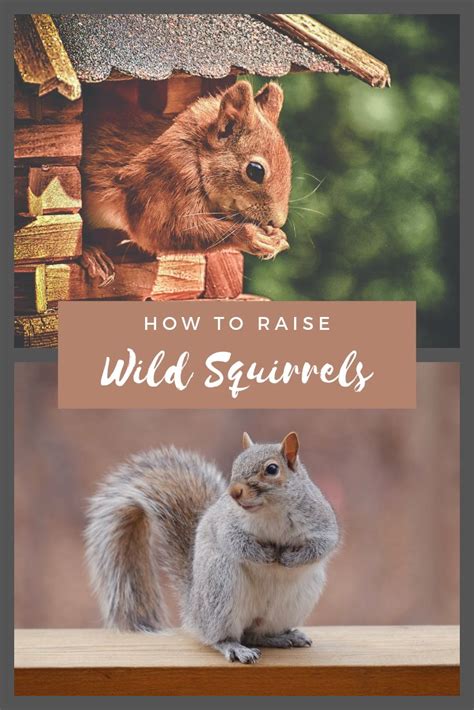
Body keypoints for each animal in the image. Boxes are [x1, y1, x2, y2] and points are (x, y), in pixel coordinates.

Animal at [81, 81, 292, 285]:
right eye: (255, 170)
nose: (277, 221)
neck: (196, 152)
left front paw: (278, 237)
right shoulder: (165, 178)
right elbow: (162, 230)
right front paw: (252, 236)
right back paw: (92, 255)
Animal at [85, 431, 339, 664]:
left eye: (272, 469)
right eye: (236, 463)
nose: (234, 492)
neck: (270, 511)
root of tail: (194, 611)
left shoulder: (321, 522)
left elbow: (322, 545)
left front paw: (289, 558)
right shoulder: (226, 523)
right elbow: (235, 542)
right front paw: (265, 554)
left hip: (293, 602)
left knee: (255, 634)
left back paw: (282, 636)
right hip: (220, 588)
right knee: (222, 636)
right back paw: (234, 647)